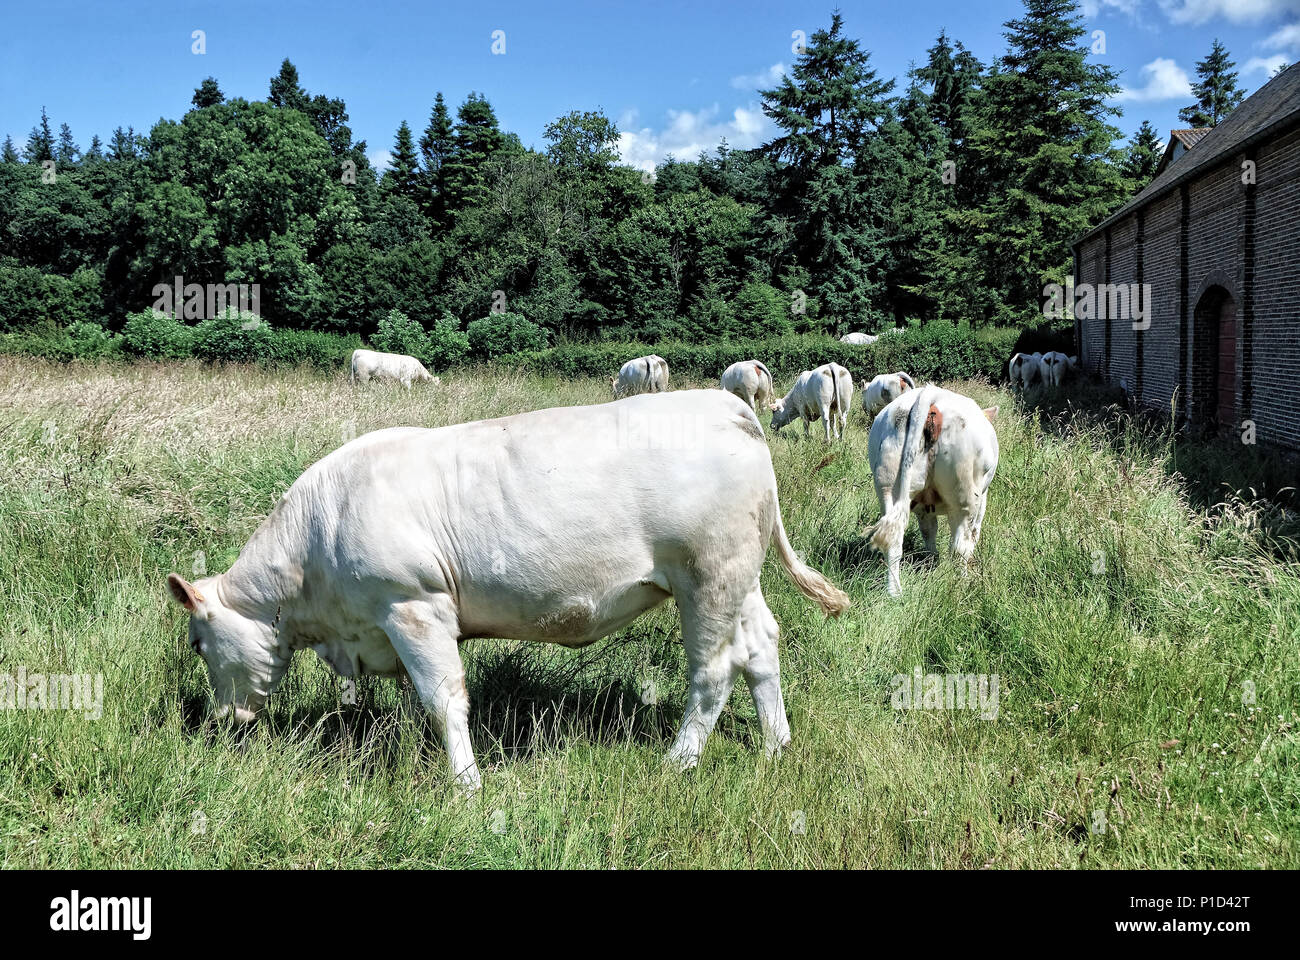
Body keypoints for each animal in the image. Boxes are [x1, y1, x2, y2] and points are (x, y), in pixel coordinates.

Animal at [164, 390, 850, 790]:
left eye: (197, 644)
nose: (223, 723)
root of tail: (724, 402)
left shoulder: (412, 607)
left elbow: (443, 699)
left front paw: (466, 785)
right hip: (739, 574)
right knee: (761, 647)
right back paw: (775, 746)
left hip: (706, 574)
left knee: (714, 668)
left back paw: (678, 762)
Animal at [866, 386, 1000, 597]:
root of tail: (930, 394)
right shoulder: (982, 500)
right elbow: (973, 535)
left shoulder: (924, 507)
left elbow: (929, 533)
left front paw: (931, 565)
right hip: (965, 495)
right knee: (959, 547)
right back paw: (962, 586)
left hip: (888, 484)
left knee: (893, 539)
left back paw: (894, 592)